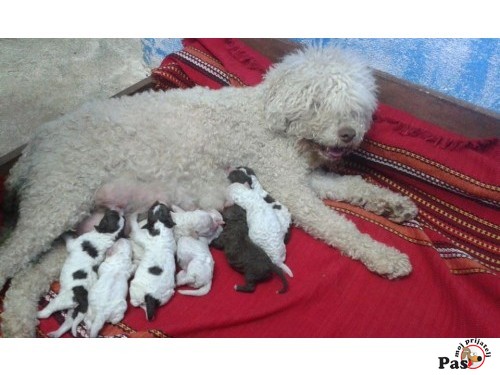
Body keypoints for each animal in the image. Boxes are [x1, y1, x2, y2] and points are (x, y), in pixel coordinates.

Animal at [37, 209, 125, 338]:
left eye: (110, 215)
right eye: (115, 215)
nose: (115, 209)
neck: (108, 235)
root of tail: (84, 300)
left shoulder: (74, 243)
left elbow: (68, 237)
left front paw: (66, 231)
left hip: (63, 299)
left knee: (48, 312)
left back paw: (38, 315)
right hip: (74, 310)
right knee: (68, 323)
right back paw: (55, 334)